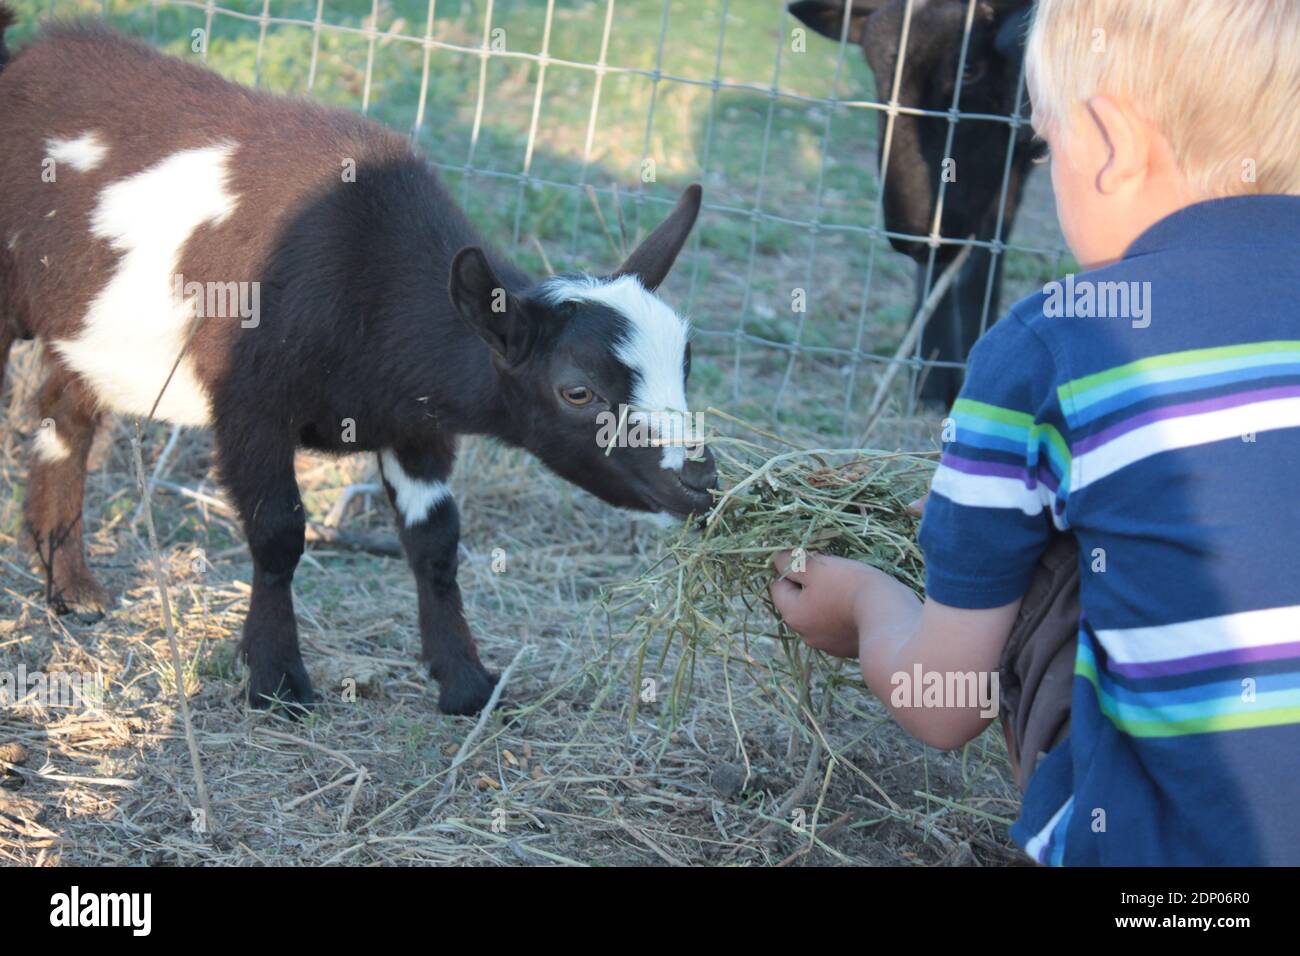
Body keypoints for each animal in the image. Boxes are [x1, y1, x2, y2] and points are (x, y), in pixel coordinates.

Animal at [0, 8, 717, 716]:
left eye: (685, 362)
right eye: (578, 392)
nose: (701, 480)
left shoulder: (416, 424)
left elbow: (435, 542)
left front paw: (465, 682)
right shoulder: (250, 406)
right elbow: (279, 532)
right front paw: (276, 681)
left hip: (82, 329)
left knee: (65, 420)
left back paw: (72, 588)